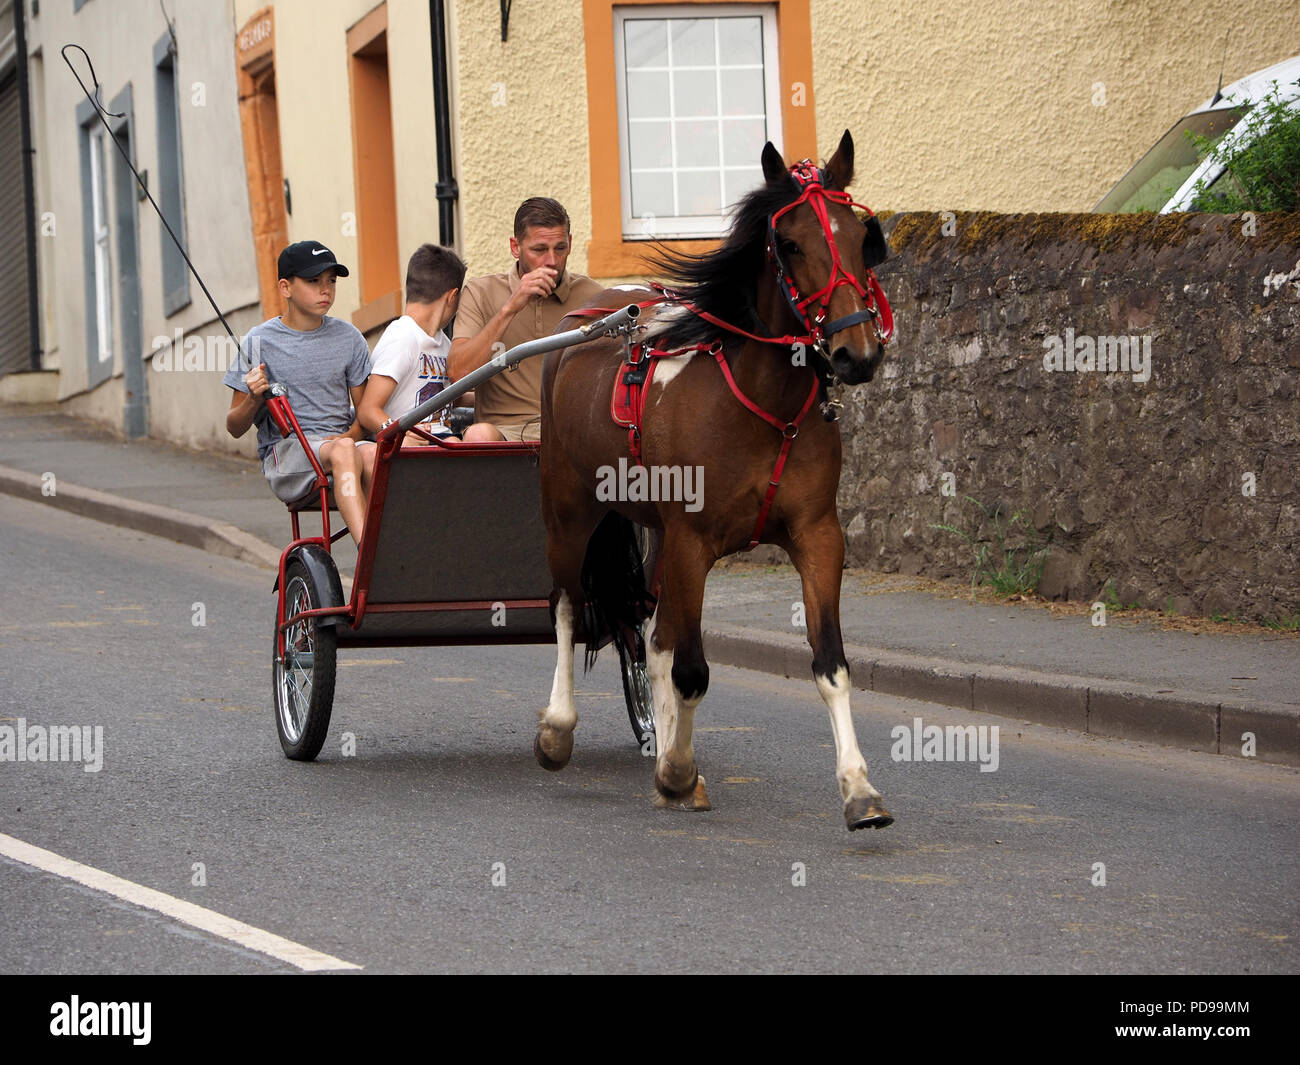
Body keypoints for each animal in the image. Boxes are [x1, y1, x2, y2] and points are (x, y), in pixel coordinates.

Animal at [535, 131, 894, 832]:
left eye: (861, 238)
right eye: (790, 244)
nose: (856, 353)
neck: (762, 404)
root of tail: (585, 324)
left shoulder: (817, 536)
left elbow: (829, 663)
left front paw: (859, 789)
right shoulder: (692, 542)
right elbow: (694, 669)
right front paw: (677, 769)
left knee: (654, 638)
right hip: (570, 510)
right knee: (567, 606)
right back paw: (559, 729)